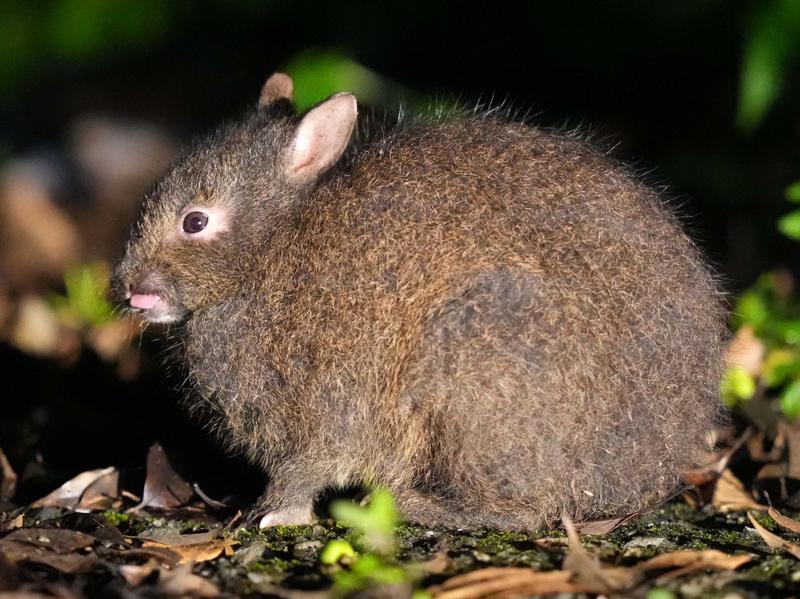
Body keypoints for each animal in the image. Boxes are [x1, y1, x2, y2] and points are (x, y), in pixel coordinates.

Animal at [113, 72, 727, 531]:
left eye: (195, 222)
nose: (126, 286)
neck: (269, 251)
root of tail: (657, 462)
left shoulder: (328, 406)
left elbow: (304, 470)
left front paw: (272, 514)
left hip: (479, 364)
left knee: (524, 513)